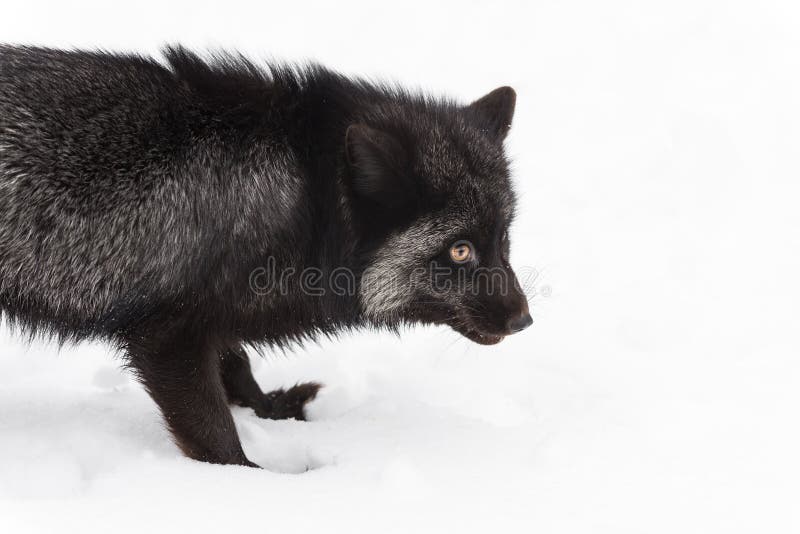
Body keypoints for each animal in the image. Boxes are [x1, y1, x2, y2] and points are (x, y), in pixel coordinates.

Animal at [0, 45, 532, 467]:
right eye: (460, 250)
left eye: (503, 239)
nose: (524, 321)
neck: (307, 201)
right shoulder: (166, 336)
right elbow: (213, 431)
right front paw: (252, 481)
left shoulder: (212, 315)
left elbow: (236, 362)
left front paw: (270, 410)